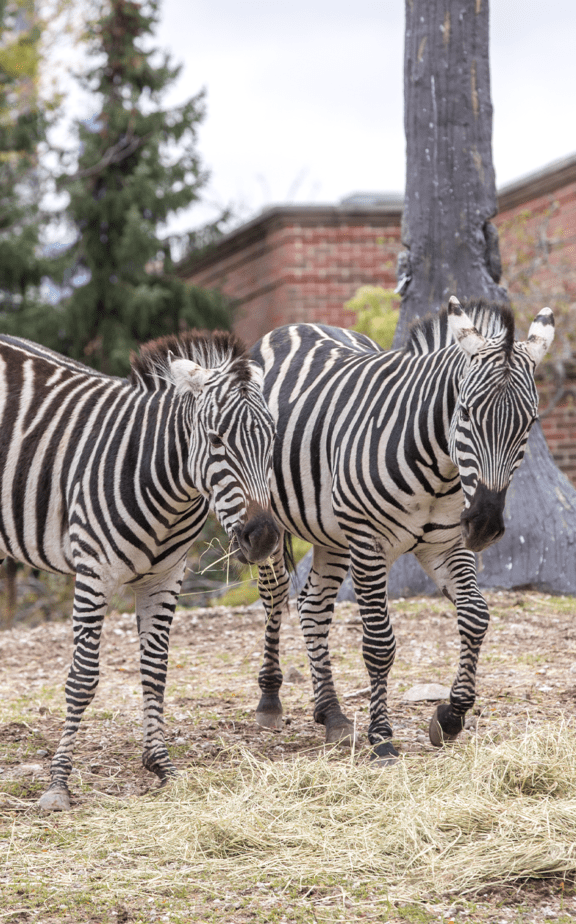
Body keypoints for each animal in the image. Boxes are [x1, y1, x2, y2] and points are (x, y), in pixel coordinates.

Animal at [0, 330, 279, 810]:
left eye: (273, 436)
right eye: (216, 439)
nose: (262, 538)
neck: (168, 485)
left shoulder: (166, 577)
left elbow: (155, 668)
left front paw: (161, 765)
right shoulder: (94, 573)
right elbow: (83, 678)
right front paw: (58, 784)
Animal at [252, 297, 554, 763]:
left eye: (531, 422)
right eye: (465, 412)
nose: (485, 525)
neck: (442, 470)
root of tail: (296, 326)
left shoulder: (446, 544)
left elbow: (476, 616)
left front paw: (451, 715)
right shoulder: (369, 541)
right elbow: (379, 642)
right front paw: (382, 738)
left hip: (331, 533)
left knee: (313, 606)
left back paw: (332, 714)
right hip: (266, 516)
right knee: (275, 595)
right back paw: (270, 700)